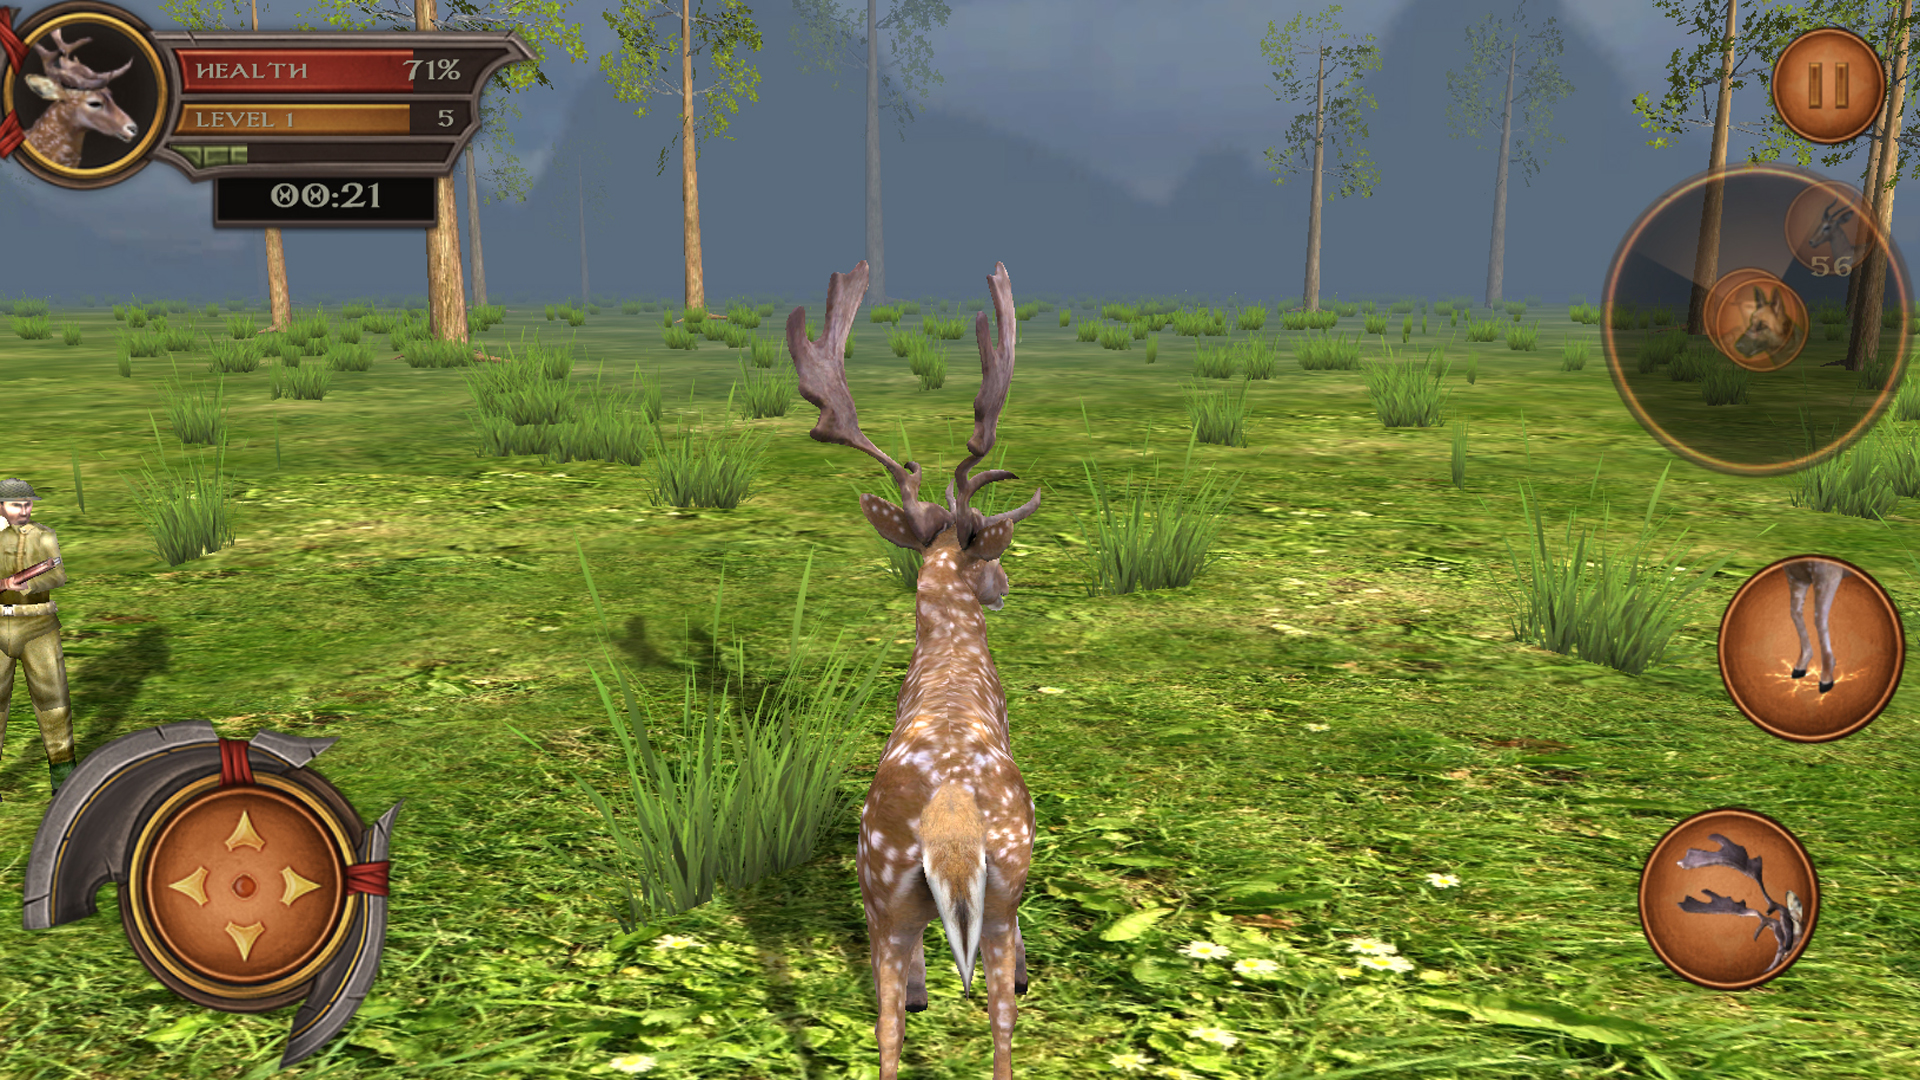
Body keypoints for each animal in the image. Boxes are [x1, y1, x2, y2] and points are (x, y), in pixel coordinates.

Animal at [788, 260, 1041, 1080]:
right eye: (989, 548)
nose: (1003, 587)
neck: (951, 656)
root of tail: (953, 815)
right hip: (990, 885)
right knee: (994, 1014)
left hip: (889, 890)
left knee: (891, 1027)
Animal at [1784, 558, 1851, 693]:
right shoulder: (1796, 576)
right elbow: (1795, 613)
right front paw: (1800, 667)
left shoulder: (1828, 574)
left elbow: (1819, 619)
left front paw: (1826, 680)